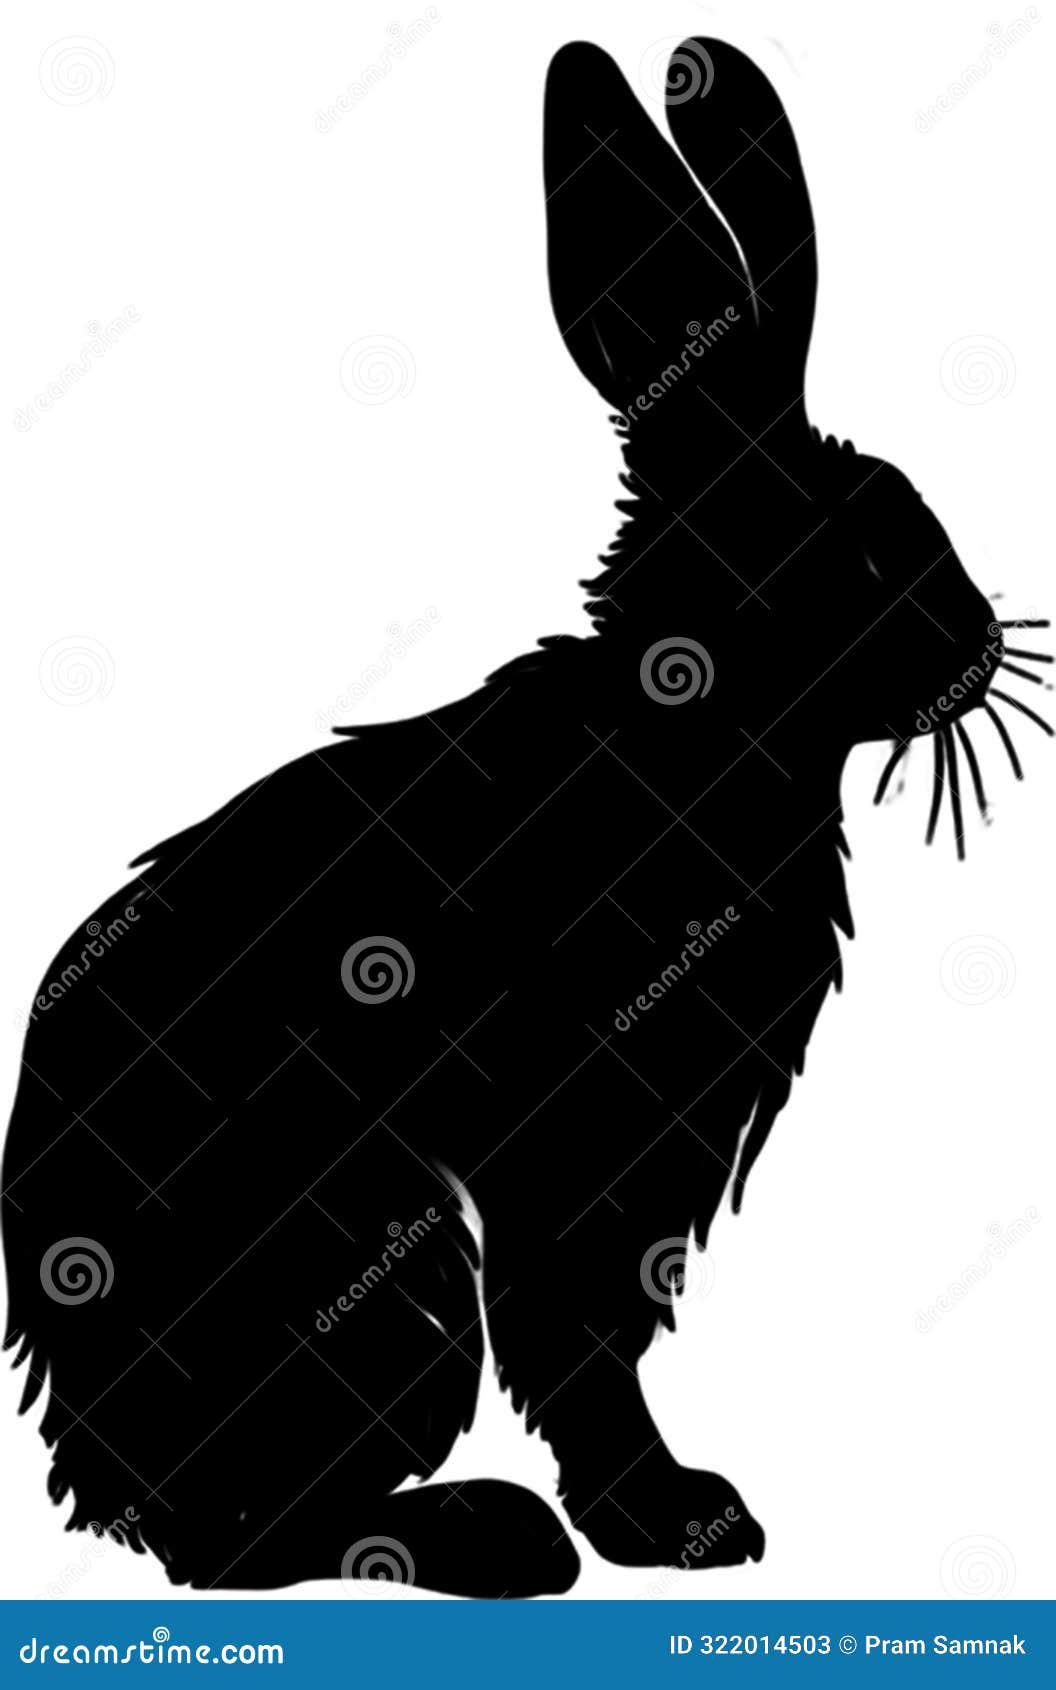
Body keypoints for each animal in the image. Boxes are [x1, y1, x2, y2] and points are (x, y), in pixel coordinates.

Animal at [2, 38, 1047, 1600]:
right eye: (867, 548)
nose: (979, 644)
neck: (694, 730)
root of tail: (94, 1458)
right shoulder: (587, 1141)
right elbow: (581, 1340)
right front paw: (676, 1520)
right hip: (386, 1266)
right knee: (236, 1541)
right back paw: (485, 1535)